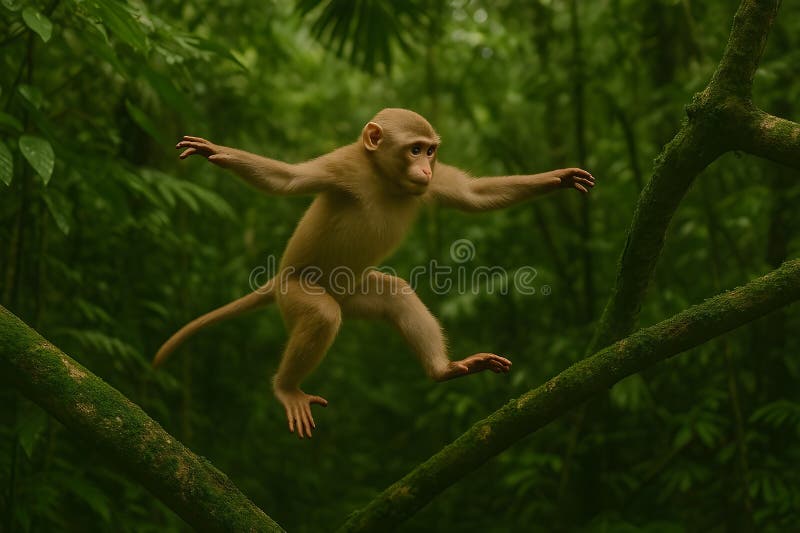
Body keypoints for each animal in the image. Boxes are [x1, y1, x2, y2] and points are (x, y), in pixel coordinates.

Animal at [154, 108, 595, 439]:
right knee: (322, 314)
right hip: (295, 291)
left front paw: (557, 178)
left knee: (395, 294)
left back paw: (443, 369)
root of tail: (276, 281)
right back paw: (286, 388)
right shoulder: (343, 166)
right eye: (414, 149)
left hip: (352, 292)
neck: (385, 180)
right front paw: (217, 153)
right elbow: (288, 179)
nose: (425, 169)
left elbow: (473, 196)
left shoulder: (431, 184)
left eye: (430, 151)